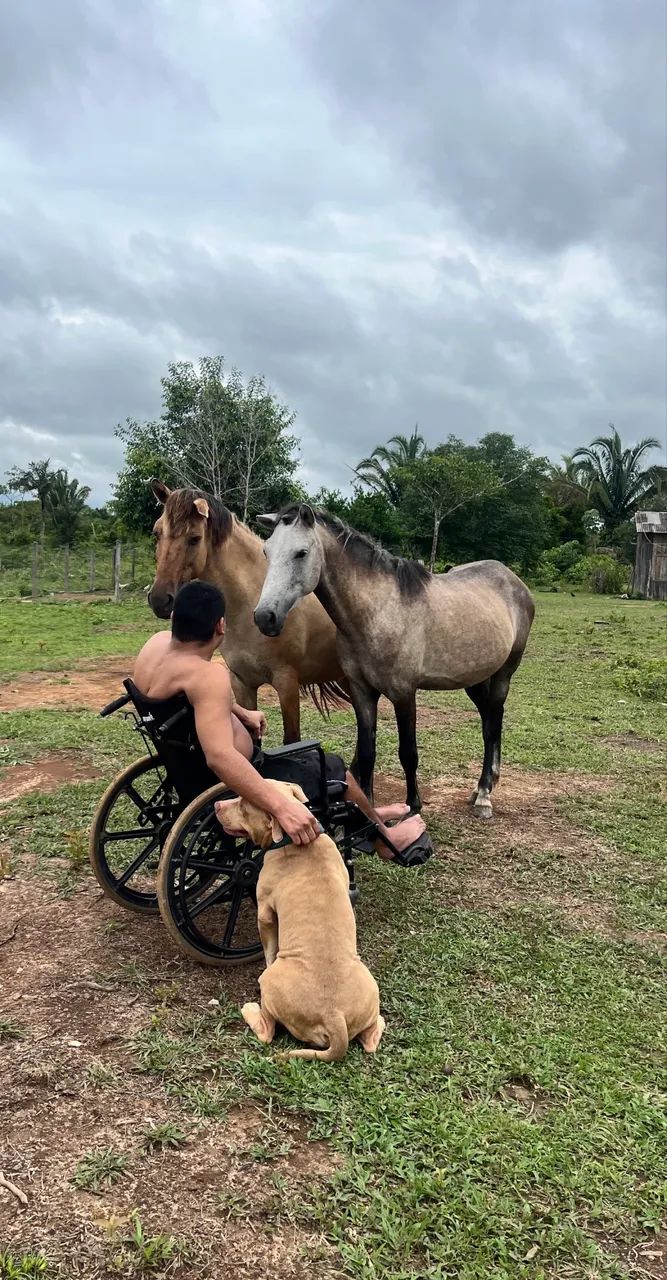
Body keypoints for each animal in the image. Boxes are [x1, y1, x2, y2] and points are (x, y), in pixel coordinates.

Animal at [147, 482, 349, 743]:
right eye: (157, 533)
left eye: (194, 538)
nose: (160, 600)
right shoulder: (241, 683)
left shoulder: (287, 683)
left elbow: (291, 739)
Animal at [254, 504, 535, 817]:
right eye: (266, 551)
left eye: (301, 553)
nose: (265, 617)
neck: (377, 612)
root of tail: (513, 581)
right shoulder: (362, 691)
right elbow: (367, 752)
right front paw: (369, 805)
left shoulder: (403, 693)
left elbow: (408, 753)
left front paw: (413, 806)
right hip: (475, 678)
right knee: (489, 719)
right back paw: (482, 787)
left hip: (504, 674)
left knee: (492, 724)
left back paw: (484, 795)